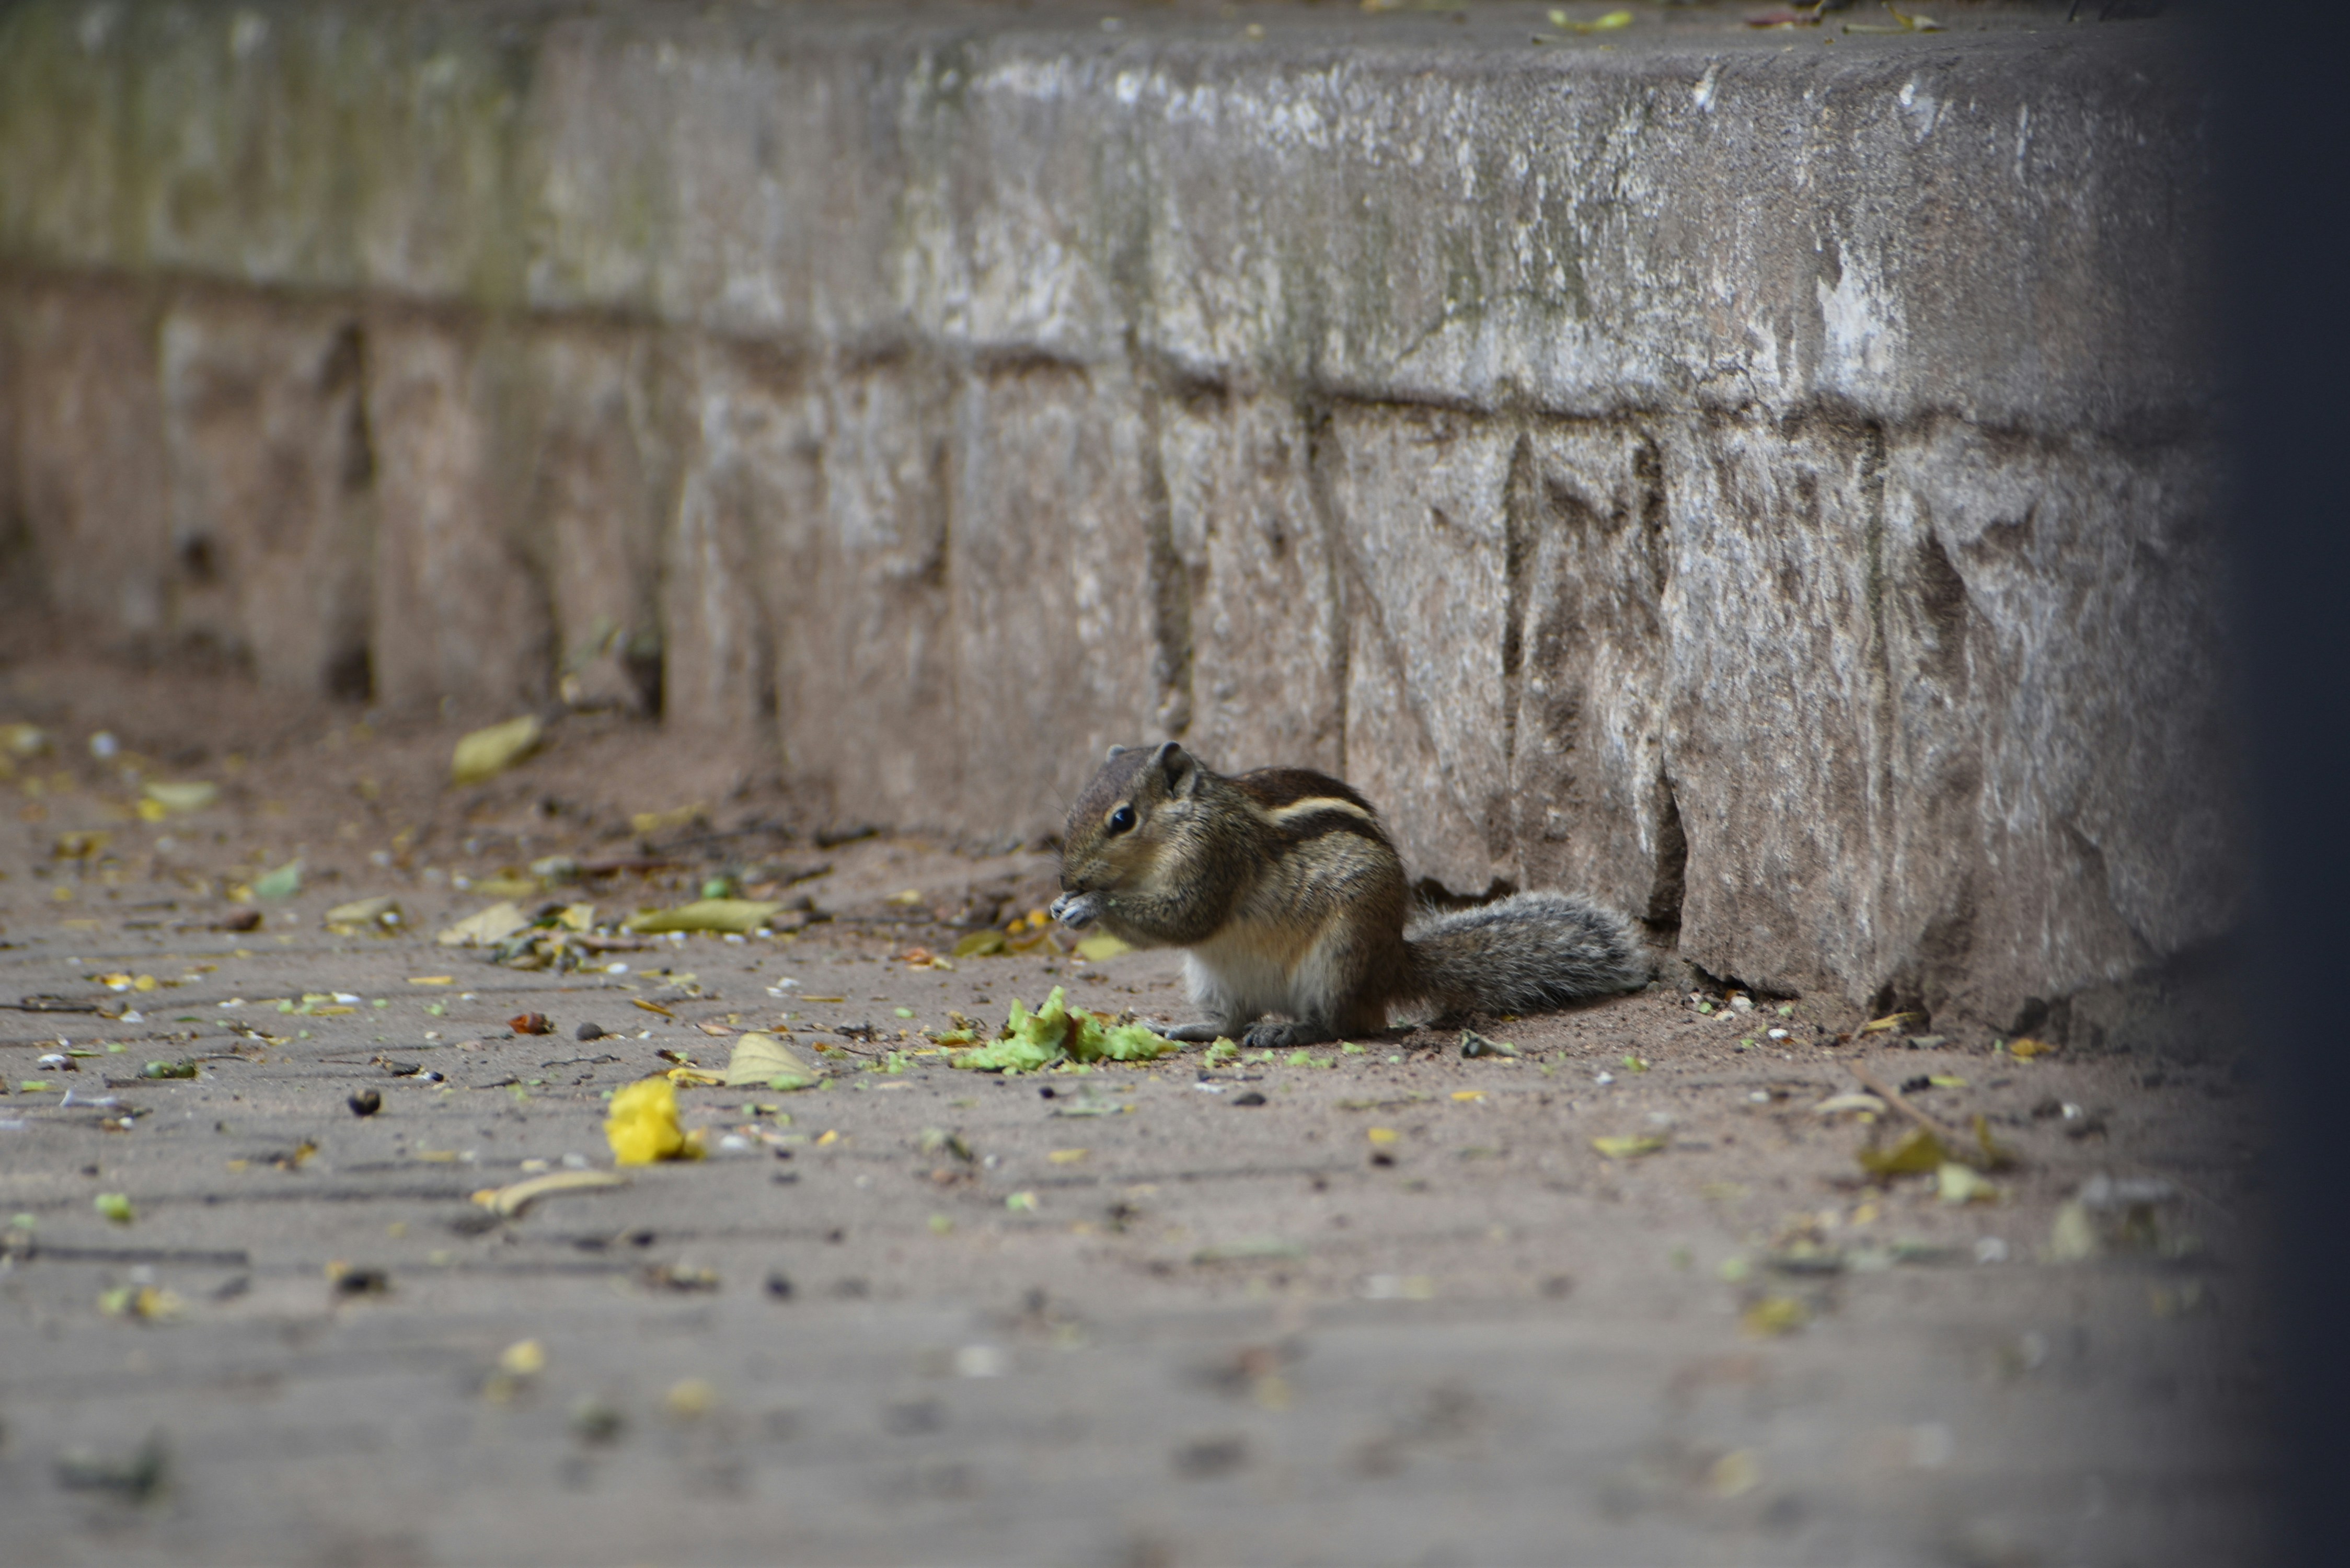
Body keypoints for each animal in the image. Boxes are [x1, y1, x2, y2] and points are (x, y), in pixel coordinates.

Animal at [1048, 741, 1654, 1050]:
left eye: (1122, 819)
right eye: (1074, 804)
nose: (1065, 880)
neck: (1186, 821)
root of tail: (1391, 965)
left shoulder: (1213, 858)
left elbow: (1186, 918)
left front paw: (1090, 906)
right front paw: (1064, 905)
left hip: (1339, 957)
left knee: (1344, 1026)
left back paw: (1291, 1029)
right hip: (1212, 976)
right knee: (1231, 1022)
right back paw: (1188, 1027)